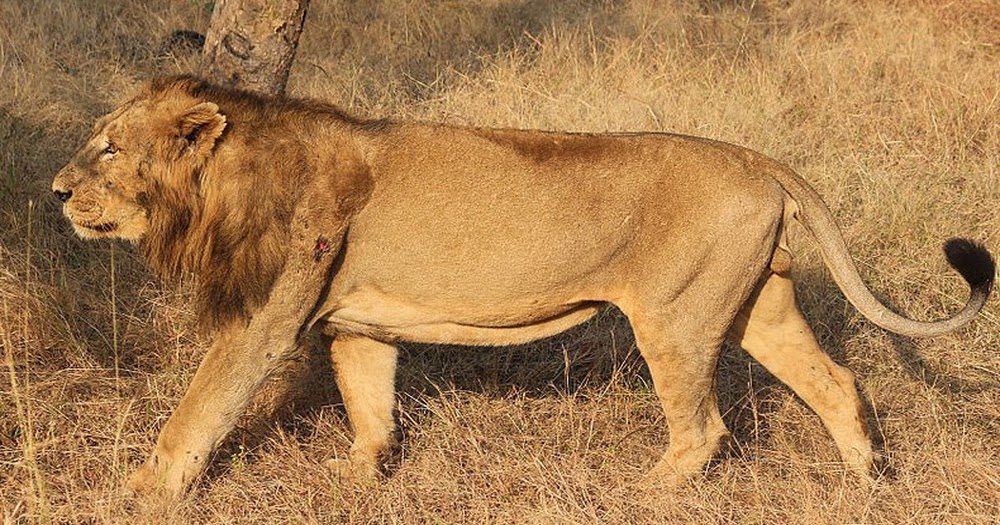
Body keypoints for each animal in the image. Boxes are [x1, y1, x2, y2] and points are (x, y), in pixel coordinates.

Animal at [52, 75, 995, 498]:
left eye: (109, 147)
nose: (57, 191)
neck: (221, 183)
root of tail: (760, 159)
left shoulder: (261, 321)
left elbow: (196, 410)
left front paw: (141, 491)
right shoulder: (356, 322)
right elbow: (369, 402)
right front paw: (359, 477)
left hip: (674, 317)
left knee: (705, 429)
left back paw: (644, 493)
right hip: (758, 303)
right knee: (837, 380)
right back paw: (870, 479)